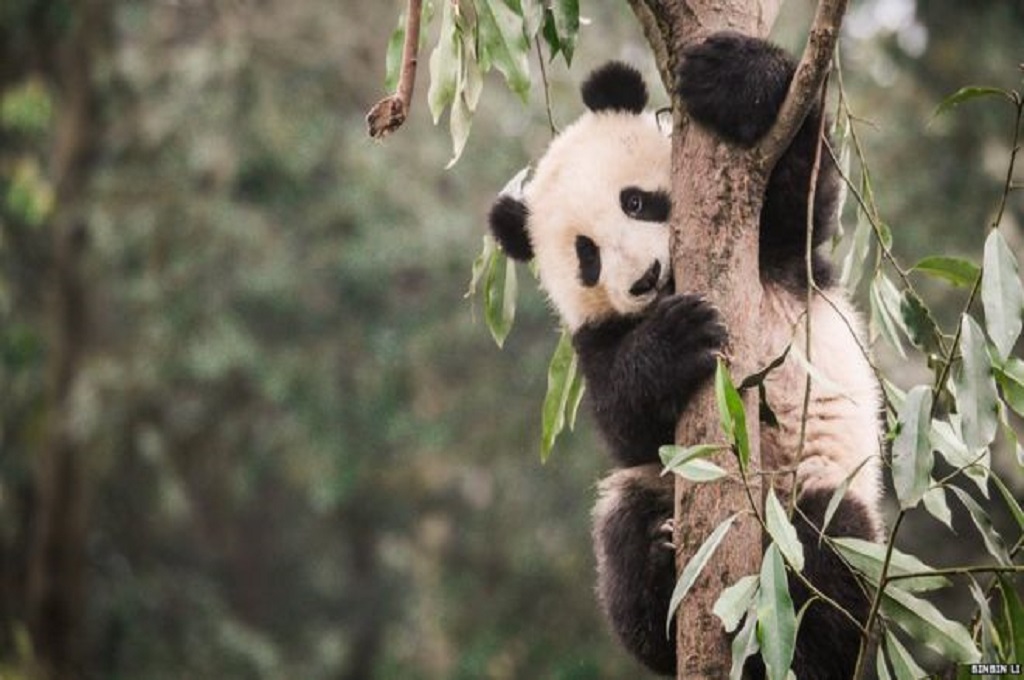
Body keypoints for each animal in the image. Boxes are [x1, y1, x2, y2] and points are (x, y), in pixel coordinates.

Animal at [487, 32, 884, 679]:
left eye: (635, 202)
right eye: (587, 256)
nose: (644, 279)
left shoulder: (777, 254)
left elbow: (804, 192)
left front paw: (733, 76)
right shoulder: (596, 339)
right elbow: (625, 422)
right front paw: (677, 339)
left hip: (821, 490)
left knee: (828, 557)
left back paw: (793, 640)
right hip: (649, 492)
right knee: (623, 547)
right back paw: (661, 563)